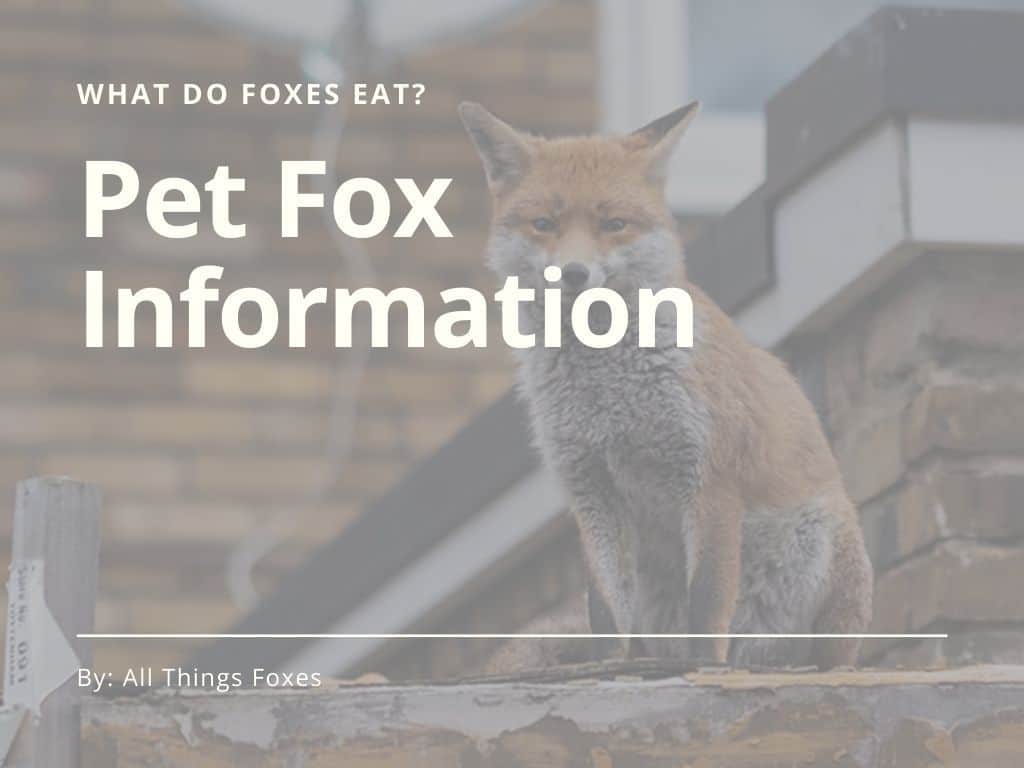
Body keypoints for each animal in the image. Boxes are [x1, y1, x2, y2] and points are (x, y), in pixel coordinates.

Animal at [459, 101, 874, 671]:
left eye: (613, 224)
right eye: (544, 224)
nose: (573, 273)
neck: (608, 393)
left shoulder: (709, 478)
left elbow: (708, 604)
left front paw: (706, 671)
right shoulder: (591, 491)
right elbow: (606, 616)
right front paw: (610, 669)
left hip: (824, 544)